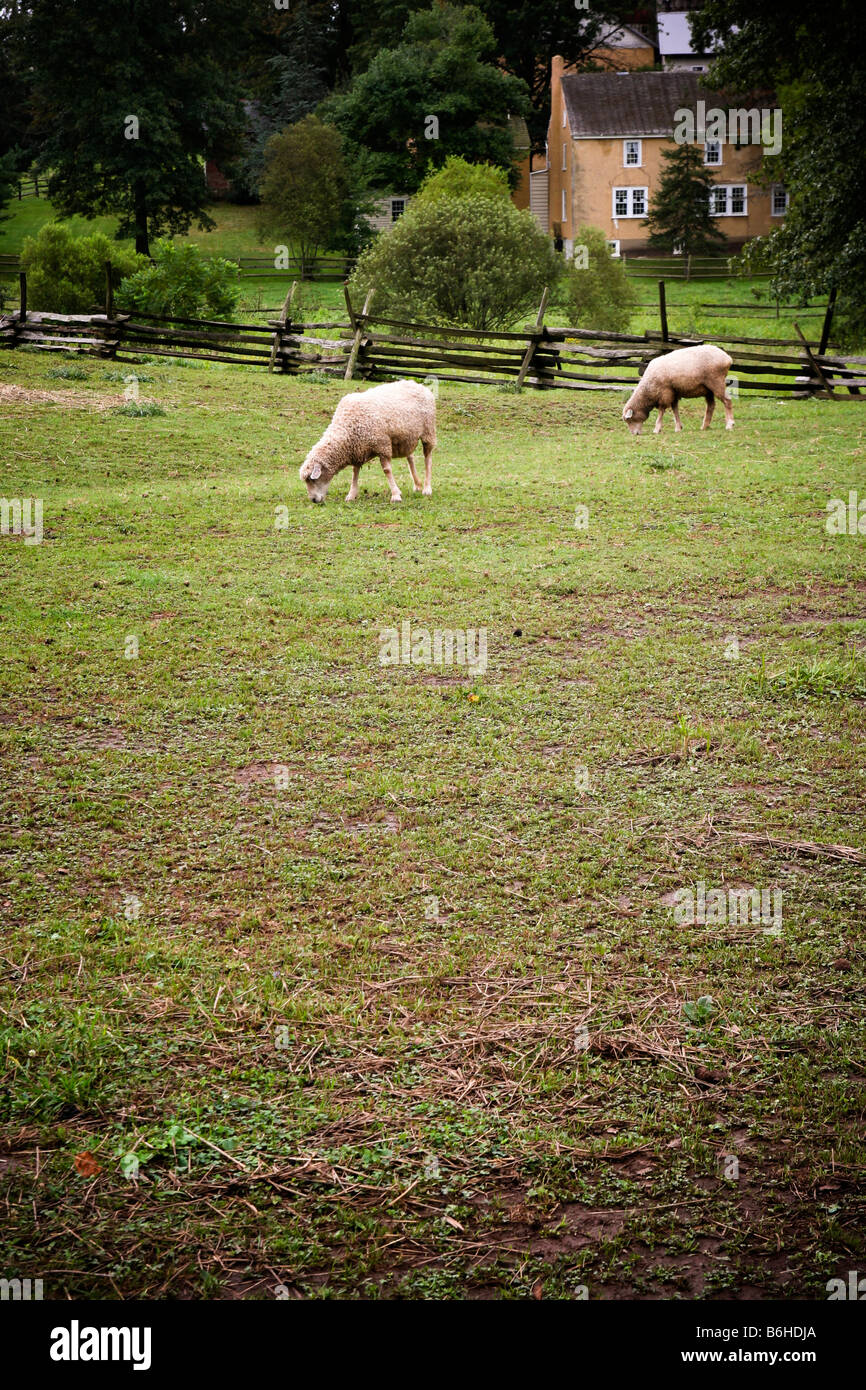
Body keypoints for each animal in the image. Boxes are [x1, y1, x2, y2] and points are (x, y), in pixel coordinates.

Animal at [299, 380, 437, 503]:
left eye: (312, 479)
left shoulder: (382, 445)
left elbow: (387, 470)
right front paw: (351, 494)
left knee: (428, 459)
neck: (347, 427)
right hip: (406, 438)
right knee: (410, 458)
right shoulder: (357, 449)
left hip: (428, 431)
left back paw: (427, 488)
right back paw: (417, 485)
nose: (313, 500)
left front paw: (396, 495)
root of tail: (418, 385)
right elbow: (355, 472)